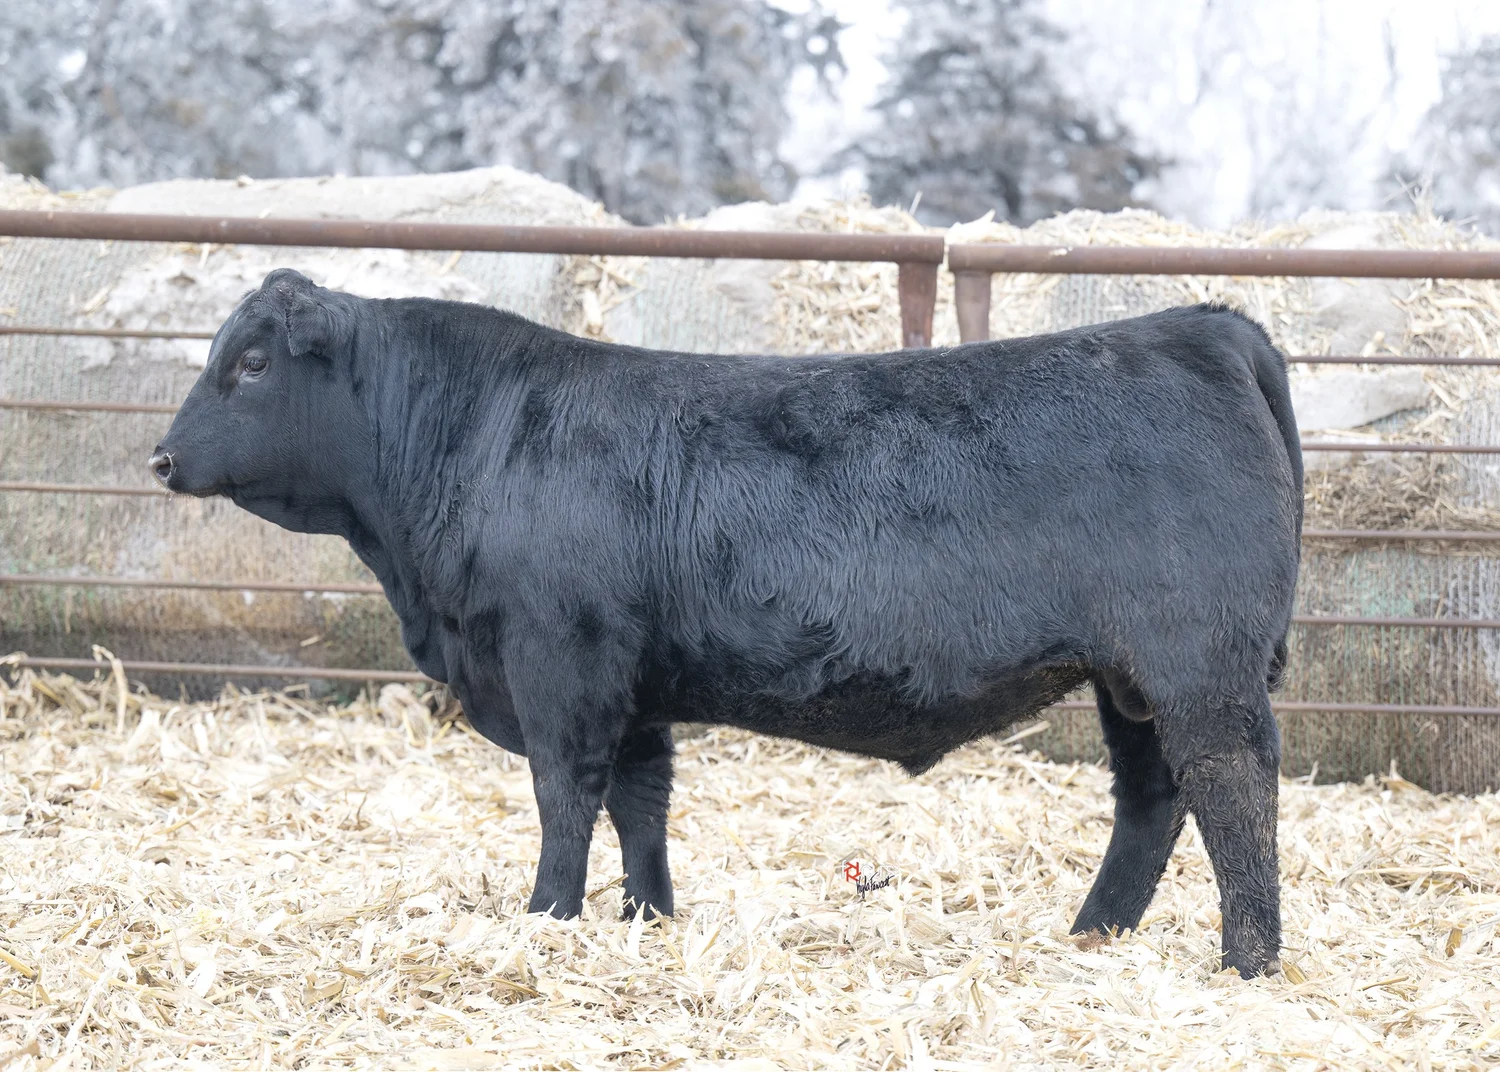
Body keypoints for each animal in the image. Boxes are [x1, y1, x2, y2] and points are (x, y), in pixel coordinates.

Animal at [149, 269, 1302, 978]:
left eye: (250, 363)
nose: (160, 458)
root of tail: (1204, 323)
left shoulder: (560, 664)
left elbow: (566, 796)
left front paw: (547, 916)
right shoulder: (633, 684)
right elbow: (640, 800)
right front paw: (646, 915)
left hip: (1200, 668)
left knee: (1232, 792)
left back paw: (1246, 959)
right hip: (1130, 679)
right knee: (1152, 800)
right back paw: (1093, 934)